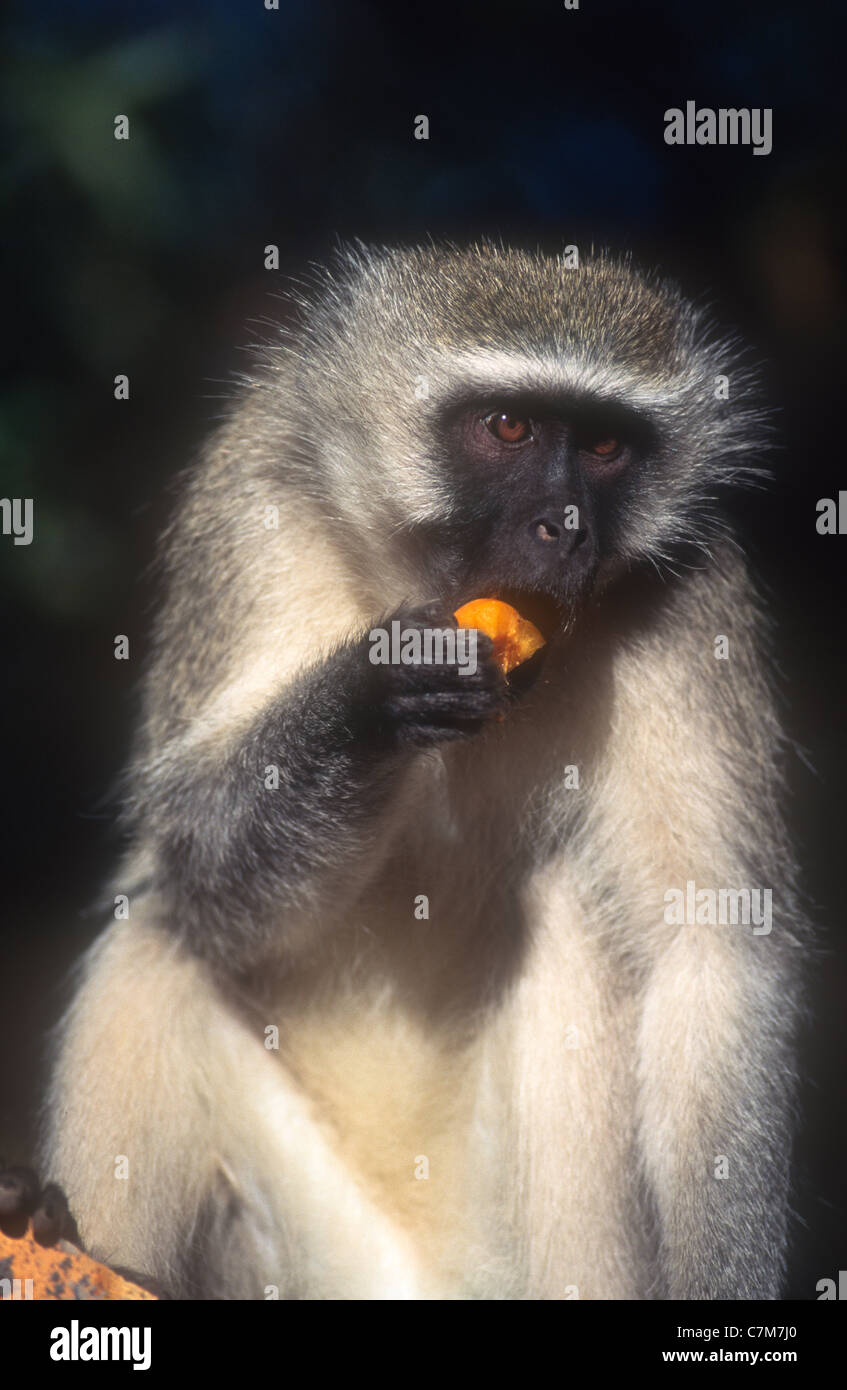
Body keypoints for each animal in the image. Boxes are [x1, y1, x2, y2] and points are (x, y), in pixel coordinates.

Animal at [6, 242, 806, 1299]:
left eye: (605, 448)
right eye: (507, 426)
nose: (565, 526)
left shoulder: (692, 588)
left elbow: (705, 949)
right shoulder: (253, 496)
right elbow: (204, 874)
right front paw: (367, 699)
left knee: (577, 907)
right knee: (162, 934)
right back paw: (62, 1237)